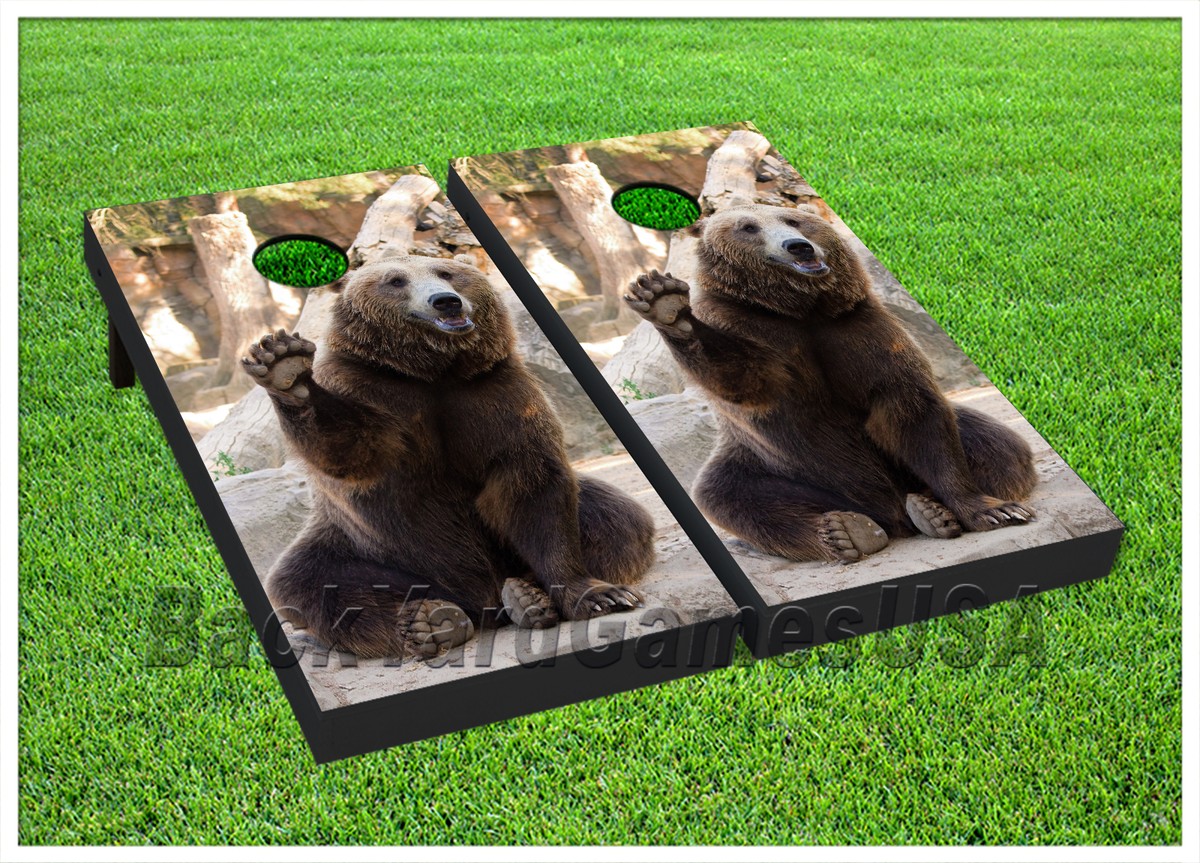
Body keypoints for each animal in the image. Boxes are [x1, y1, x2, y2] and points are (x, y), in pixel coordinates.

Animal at [242, 254, 655, 658]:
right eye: (395, 280)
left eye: (446, 272)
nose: (445, 301)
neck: (433, 371)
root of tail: (481, 602)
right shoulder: (372, 391)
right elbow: (349, 449)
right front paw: (286, 368)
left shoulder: (496, 396)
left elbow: (535, 489)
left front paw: (600, 595)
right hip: (367, 548)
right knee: (308, 583)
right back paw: (430, 623)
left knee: (618, 518)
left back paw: (525, 597)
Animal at [624, 203, 1037, 563]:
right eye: (749, 227)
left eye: (793, 220)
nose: (797, 246)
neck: (799, 310)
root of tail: (888, 513)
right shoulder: (753, 330)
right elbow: (743, 379)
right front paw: (665, 302)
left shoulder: (858, 331)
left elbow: (915, 411)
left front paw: (994, 511)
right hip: (772, 465)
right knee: (729, 496)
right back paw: (846, 532)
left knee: (997, 443)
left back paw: (929, 510)